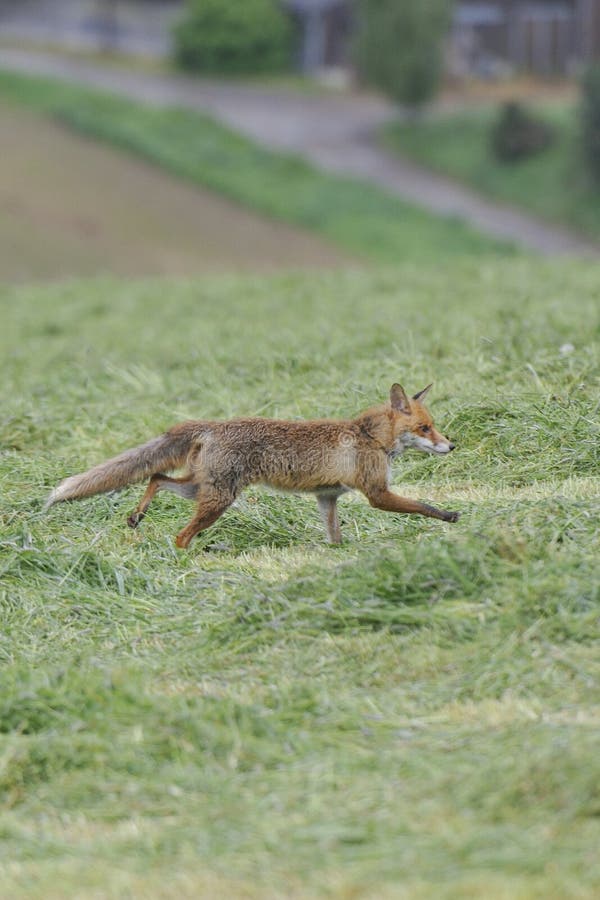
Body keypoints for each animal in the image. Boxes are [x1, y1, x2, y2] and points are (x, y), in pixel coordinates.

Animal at [45, 383, 459, 548]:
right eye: (425, 428)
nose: (452, 445)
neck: (370, 438)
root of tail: (212, 425)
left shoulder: (327, 498)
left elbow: (335, 536)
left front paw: (338, 555)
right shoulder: (377, 493)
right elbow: (421, 506)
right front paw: (449, 516)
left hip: (201, 488)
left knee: (157, 476)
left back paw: (137, 517)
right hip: (218, 499)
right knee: (180, 534)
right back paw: (189, 557)